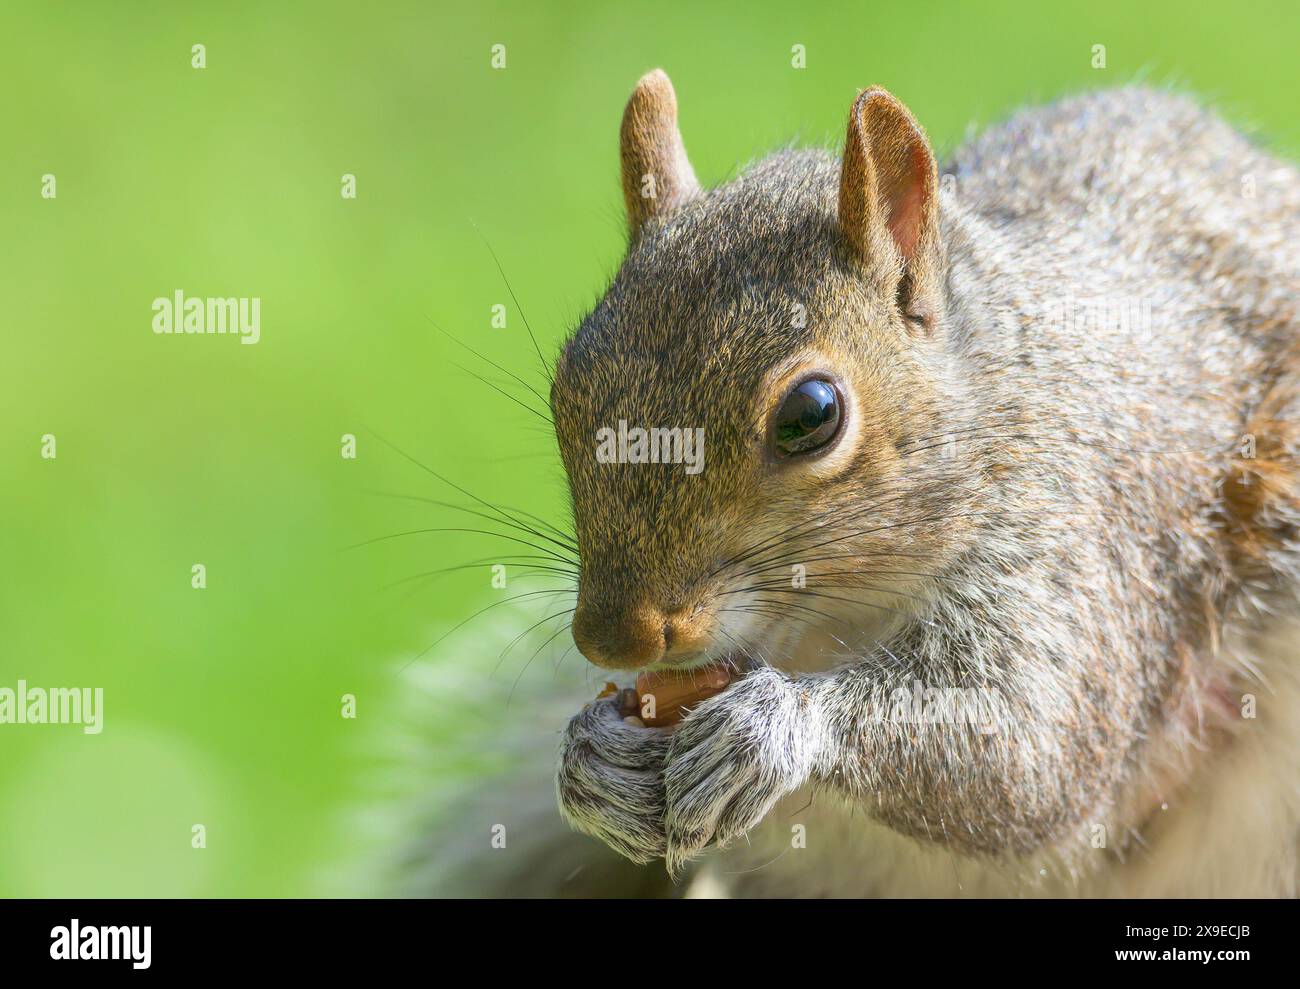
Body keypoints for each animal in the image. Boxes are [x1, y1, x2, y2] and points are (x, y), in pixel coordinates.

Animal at [381, 70, 1300, 897]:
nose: (615, 639)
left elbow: (1030, 753)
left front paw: (774, 726)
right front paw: (588, 759)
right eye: (566, 388)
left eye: (811, 414)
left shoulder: (1087, 541)